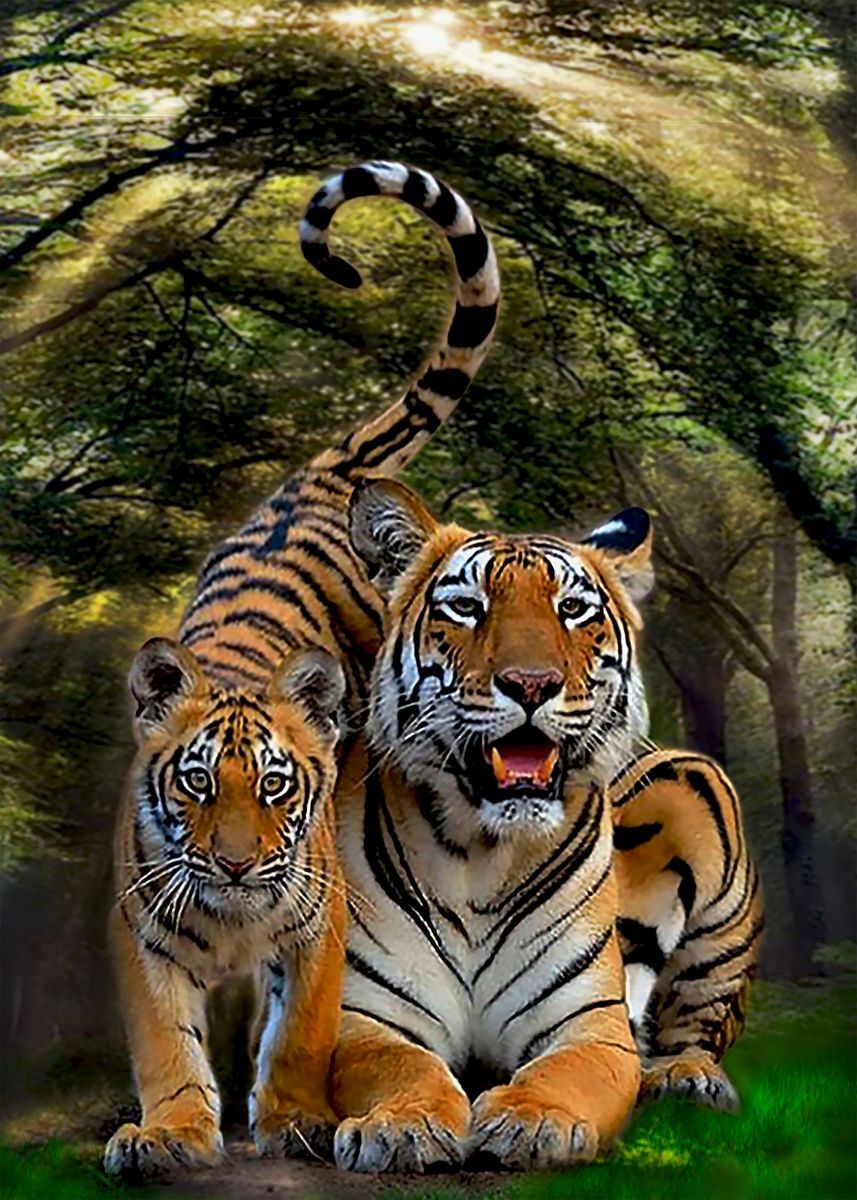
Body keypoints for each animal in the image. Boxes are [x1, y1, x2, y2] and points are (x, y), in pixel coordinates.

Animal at [104, 161, 500, 1177]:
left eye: (278, 786)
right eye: (197, 782)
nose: (239, 864)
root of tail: (322, 476)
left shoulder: (321, 929)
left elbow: (301, 1035)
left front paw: (291, 1122)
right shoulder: (140, 935)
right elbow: (164, 1045)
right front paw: (170, 1135)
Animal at [327, 478, 762, 1172]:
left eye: (573, 610)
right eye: (467, 607)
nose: (531, 684)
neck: (482, 854)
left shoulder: (589, 1022)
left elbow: (569, 1073)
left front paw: (532, 1121)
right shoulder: (365, 1017)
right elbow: (401, 1067)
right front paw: (403, 1128)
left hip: (697, 791)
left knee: (695, 1026)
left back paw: (686, 1080)